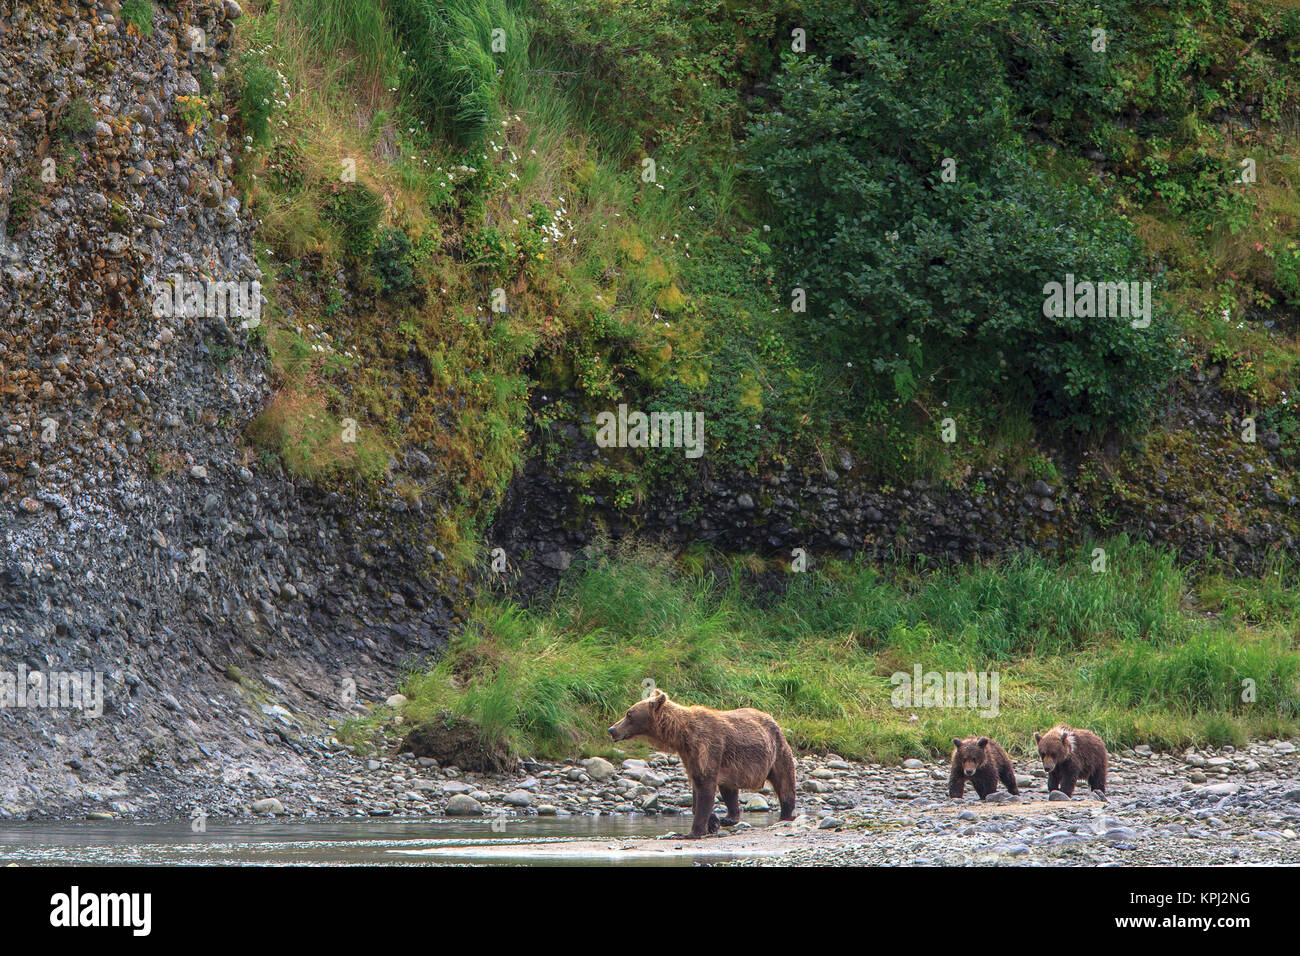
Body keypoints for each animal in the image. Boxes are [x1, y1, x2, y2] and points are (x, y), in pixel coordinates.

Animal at [607, 689, 797, 838]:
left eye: (629, 713)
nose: (612, 729)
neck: (681, 735)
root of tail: (771, 717)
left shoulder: (707, 746)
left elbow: (705, 786)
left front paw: (692, 832)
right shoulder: (690, 756)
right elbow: (697, 786)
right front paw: (713, 822)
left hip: (776, 750)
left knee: (784, 782)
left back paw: (785, 815)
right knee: (728, 789)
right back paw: (730, 817)